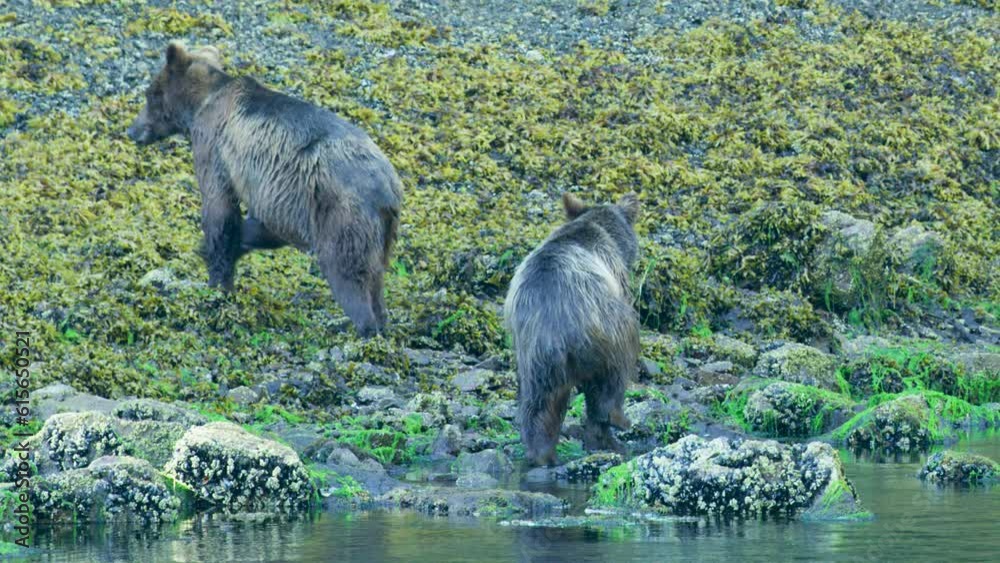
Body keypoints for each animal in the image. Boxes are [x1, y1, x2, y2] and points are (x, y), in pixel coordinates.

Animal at [127, 42, 403, 337]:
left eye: (149, 94)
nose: (132, 130)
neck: (201, 103)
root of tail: (387, 186)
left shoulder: (213, 148)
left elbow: (219, 209)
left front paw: (218, 282)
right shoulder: (279, 197)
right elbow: (263, 226)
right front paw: (231, 246)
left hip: (341, 213)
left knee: (347, 270)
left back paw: (362, 327)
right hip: (381, 232)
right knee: (375, 277)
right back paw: (379, 321)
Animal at [504, 192, 641, 466]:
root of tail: (559, 331)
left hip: (534, 359)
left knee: (539, 405)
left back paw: (541, 454)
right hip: (609, 330)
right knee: (611, 380)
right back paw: (617, 424)